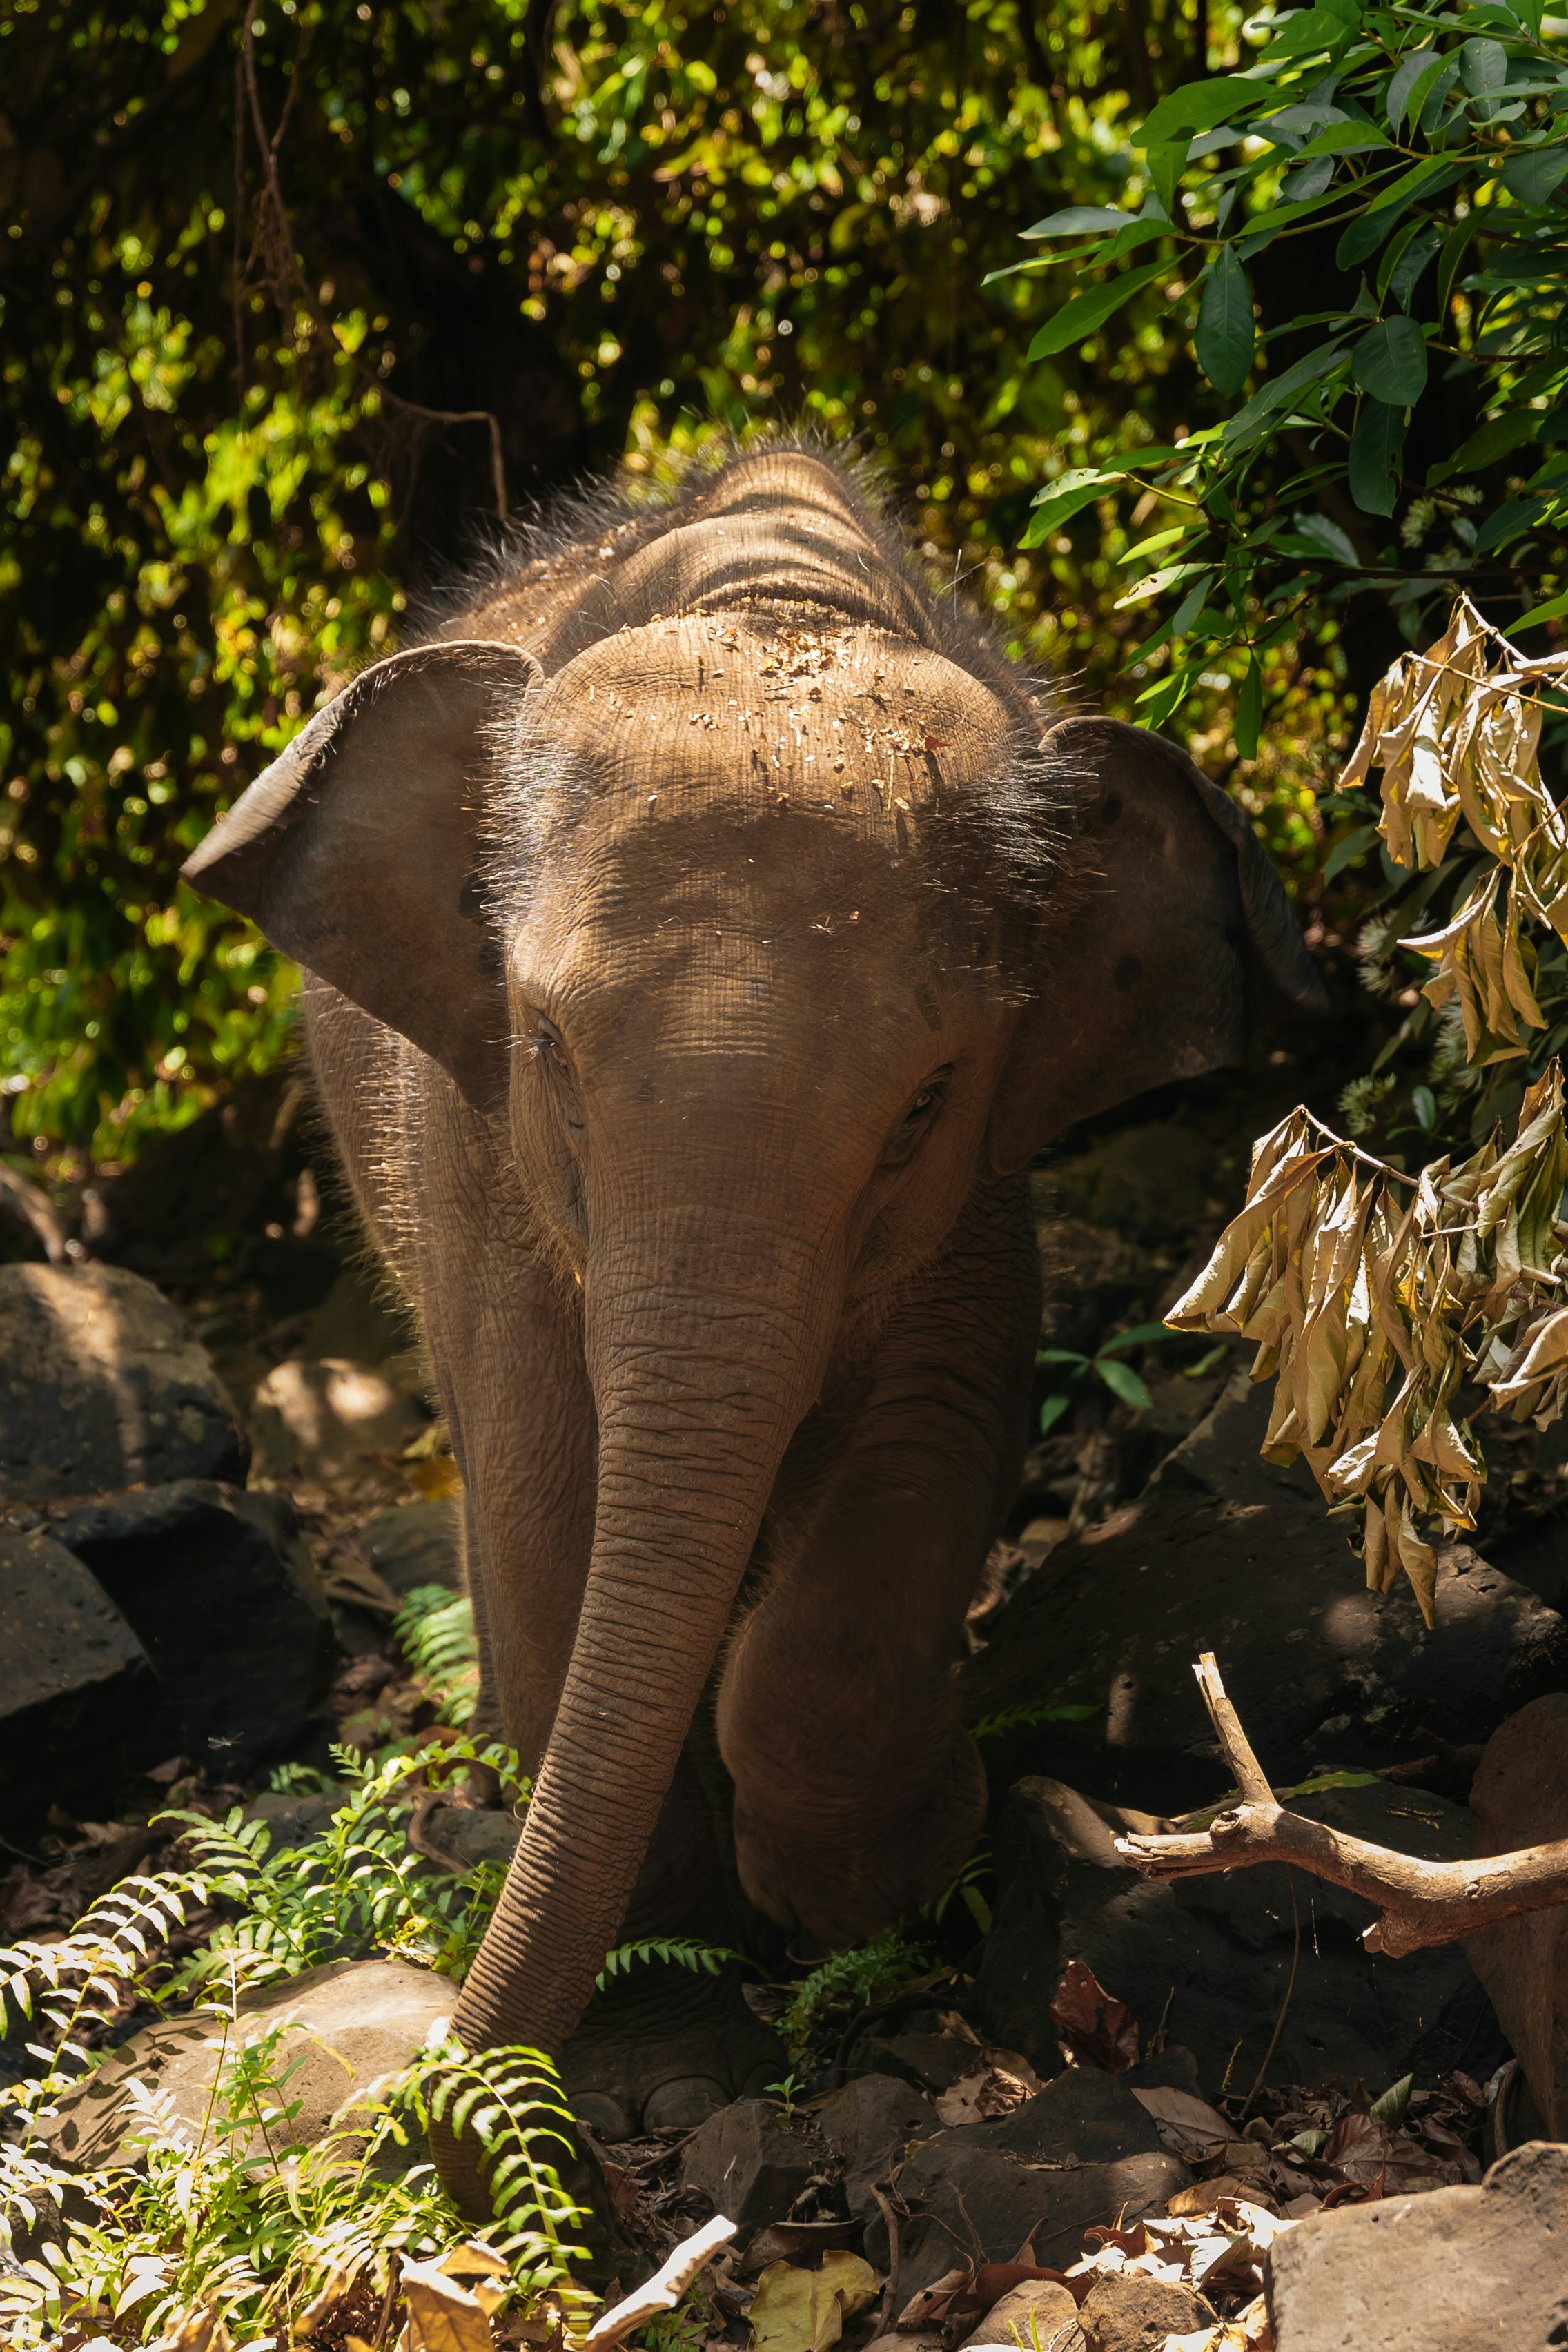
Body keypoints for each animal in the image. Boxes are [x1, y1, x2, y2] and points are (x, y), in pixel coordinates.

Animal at [183, 443, 1324, 2197]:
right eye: (543, 1048)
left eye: (924, 1098)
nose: (424, 2125)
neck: (767, 597)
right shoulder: (480, 1171)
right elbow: (540, 1510)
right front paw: (665, 2041)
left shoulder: (975, 1204)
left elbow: (927, 1443)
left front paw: (887, 1876)